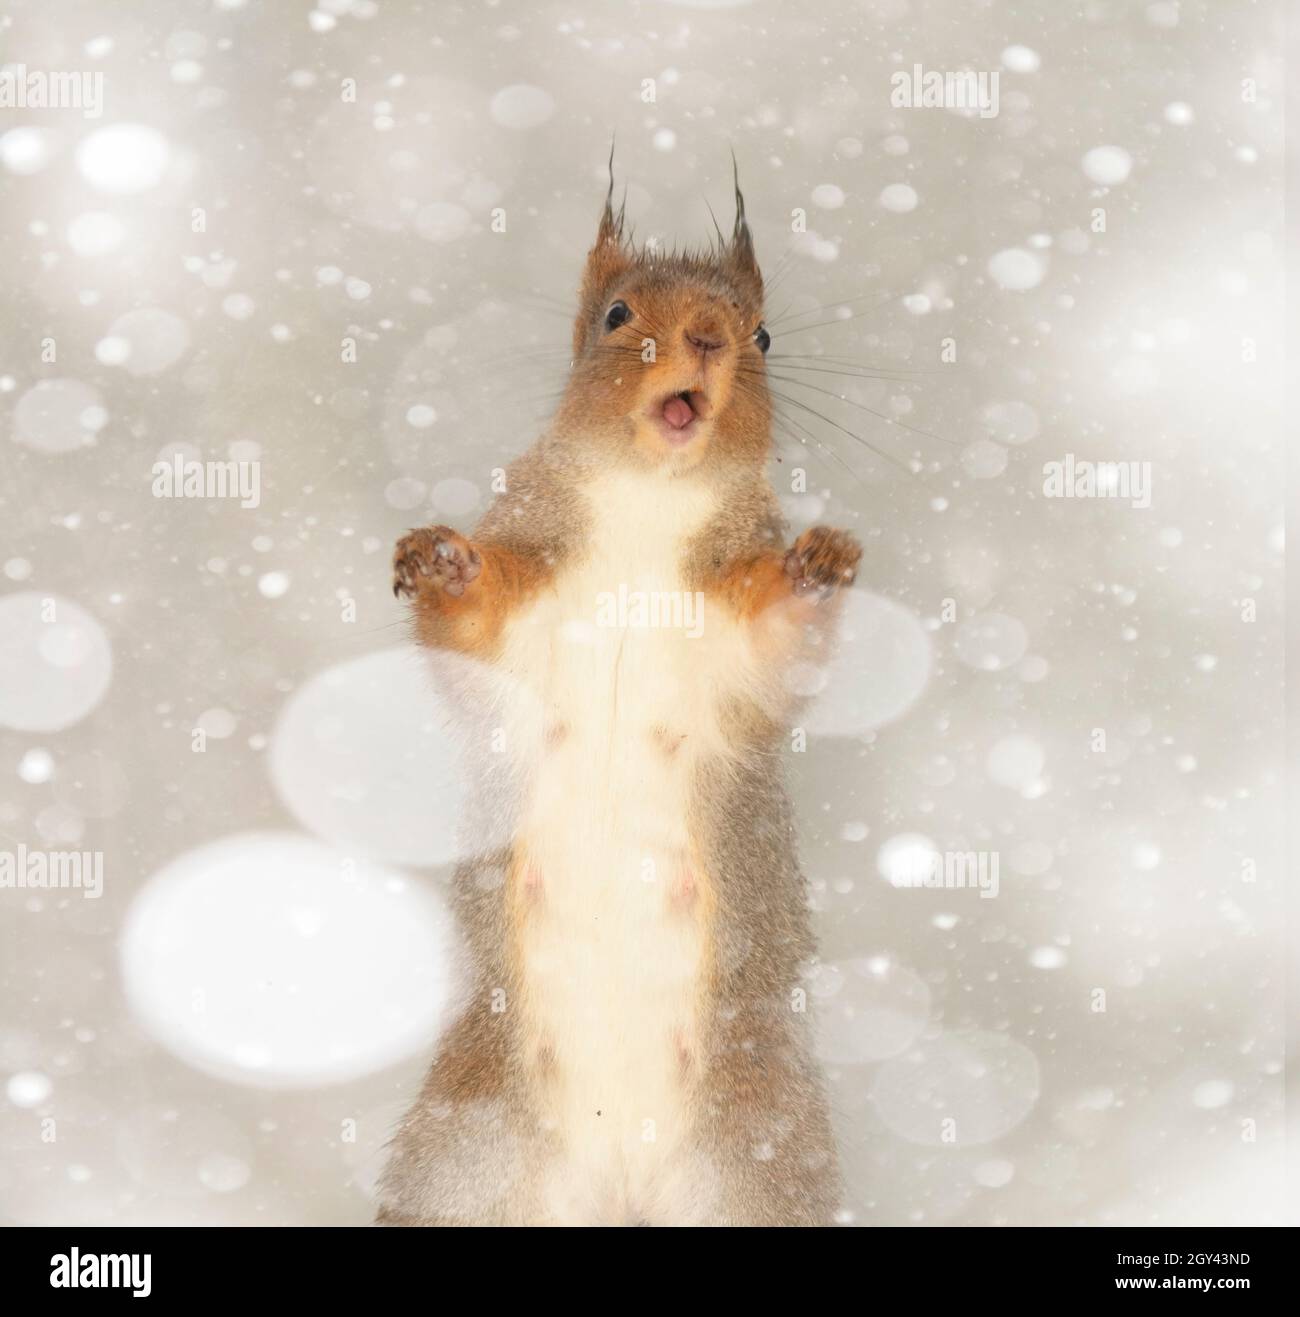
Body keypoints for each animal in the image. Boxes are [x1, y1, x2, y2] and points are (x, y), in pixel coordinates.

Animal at [376, 161, 862, 1227]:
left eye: (764, 334)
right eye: (615, 314)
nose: (709, 340)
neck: (650, 497)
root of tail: (620, 1173)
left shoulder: (730, 626)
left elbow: (779, 642)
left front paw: (821, 562)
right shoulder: (529, 583)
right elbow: (470, 625)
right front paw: (434, 557)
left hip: (759, 1159)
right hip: (466, 1160)